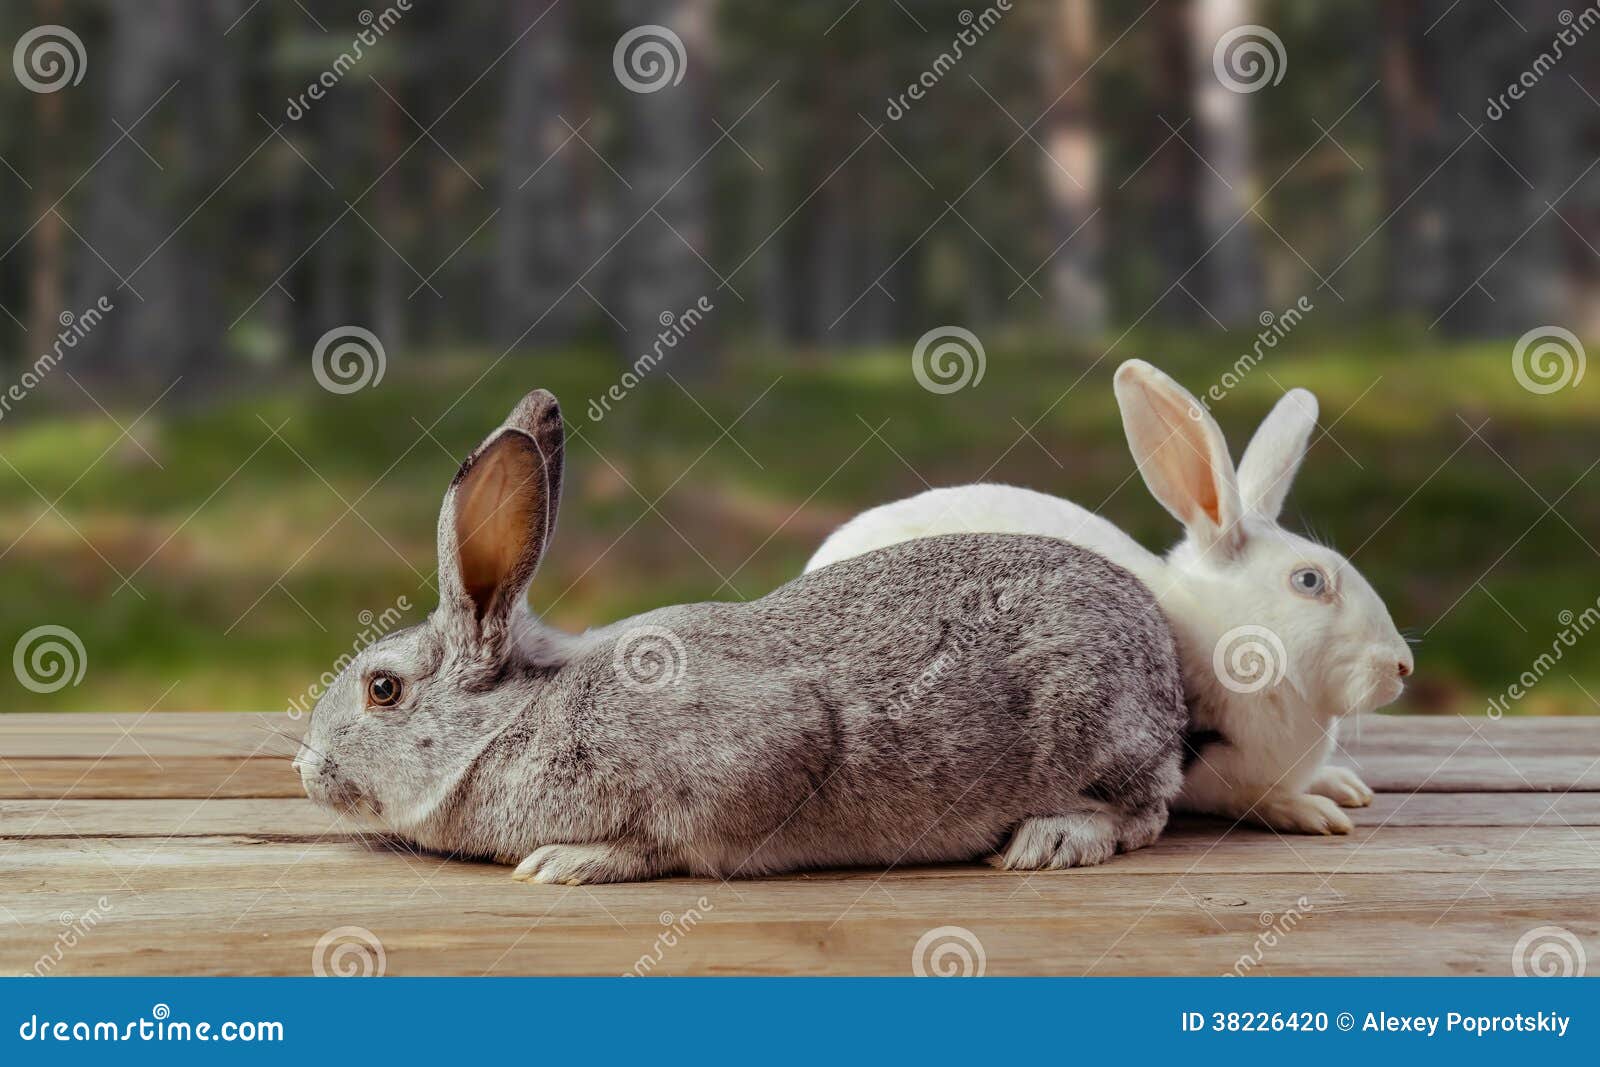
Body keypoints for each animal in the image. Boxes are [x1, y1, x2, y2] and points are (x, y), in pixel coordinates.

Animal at [294, 388, 1189, 884]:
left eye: (383, 687)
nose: (304, 766)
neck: (514, 721)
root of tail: (1166, 665)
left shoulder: (756, 752)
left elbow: (669, 837)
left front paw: (570, 862)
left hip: (1094, 728)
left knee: (1143, 810)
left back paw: (1051, 837)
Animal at [806, 358, 1414, 836]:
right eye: (1309, 582)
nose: (1403, 667)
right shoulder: (1201, 772)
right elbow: (1248, 797)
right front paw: (1309, 811)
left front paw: (1340, 784)